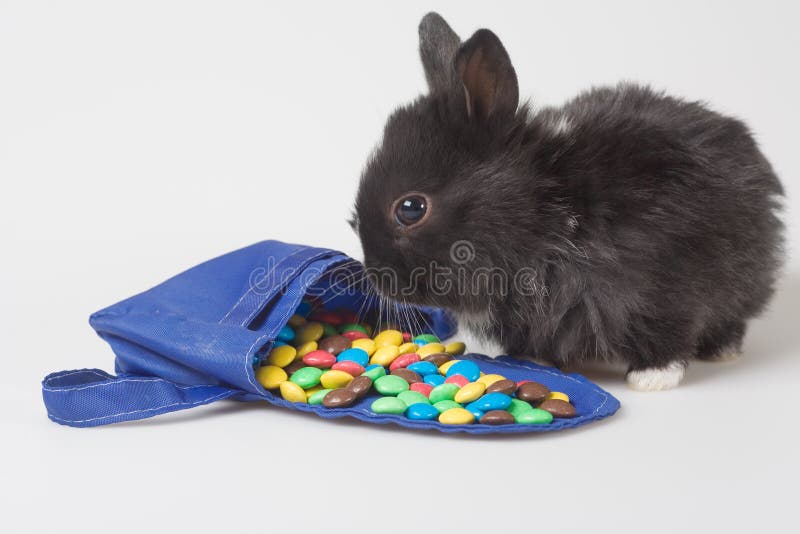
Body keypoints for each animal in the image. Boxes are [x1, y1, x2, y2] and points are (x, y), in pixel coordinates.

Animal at [350, 12, 785, 390]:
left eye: (410, 208)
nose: (376, 276)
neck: (545, 211)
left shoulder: (666, 291)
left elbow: (665, 335)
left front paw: (652, 379)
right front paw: (532, 361)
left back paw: (722, 351)